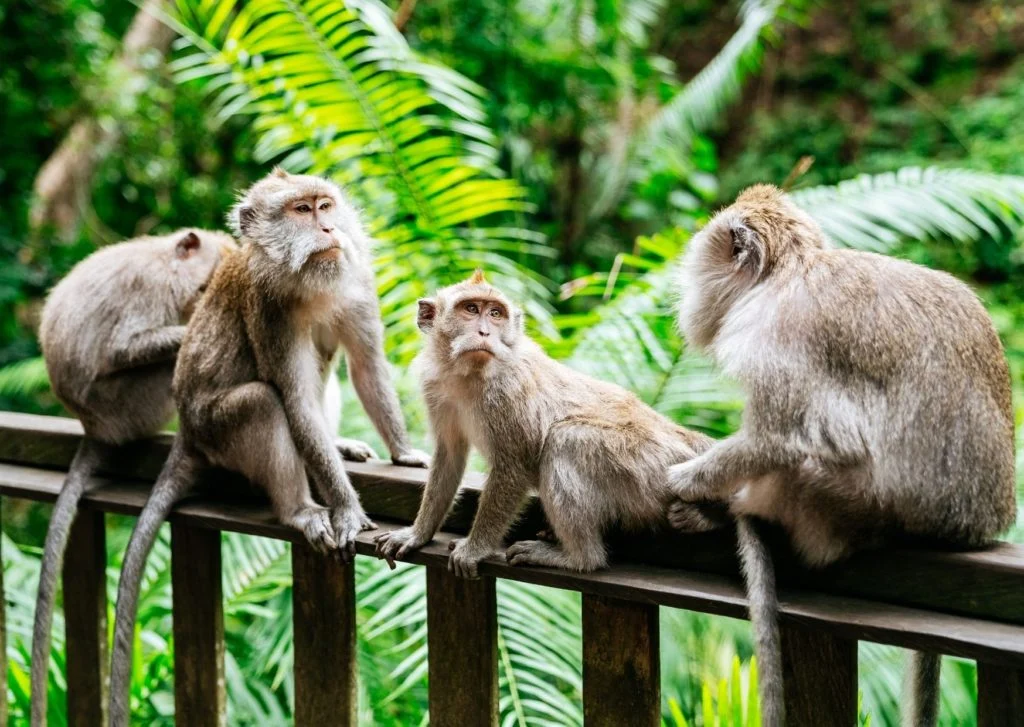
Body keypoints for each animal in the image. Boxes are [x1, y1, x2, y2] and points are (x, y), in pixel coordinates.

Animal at [31, 229, 234, 726]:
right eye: (204, 288)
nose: (199, 308)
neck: (165, 258)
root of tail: (94, 427)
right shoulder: (153, 289)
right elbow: (124, 348)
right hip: (133, 403)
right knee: (163, 367)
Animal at [107, 169, 429, 726]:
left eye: (325, 205)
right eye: (301, 211)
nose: (328, 228)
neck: (308, 284)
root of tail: (186, 429)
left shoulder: (357, 283)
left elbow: (367, 368)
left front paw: (405, 452)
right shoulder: (268, 310)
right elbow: (293, 399)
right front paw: (345, 508)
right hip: (214, 428)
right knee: (262, 402)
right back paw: (298, 508)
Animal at [374, 270, 718, 578]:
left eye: (495, 314)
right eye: (470, 309)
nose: (485, 333)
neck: (468, 374)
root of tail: (684, 438)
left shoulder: (506, 393)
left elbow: (514, 466)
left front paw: (475, 549)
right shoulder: (436, 389)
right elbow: (449, 455)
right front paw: (418, 534)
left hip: (650, 466)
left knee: (565, 439)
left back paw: (579, 558)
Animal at [666, 184, 1016, 727]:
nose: (686, 295)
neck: (790, 272)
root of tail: (972, 529)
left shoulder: (775, 336)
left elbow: (780, 439)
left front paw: (682, 479)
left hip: (851, 506)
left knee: (806, 460)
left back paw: (731, 511)